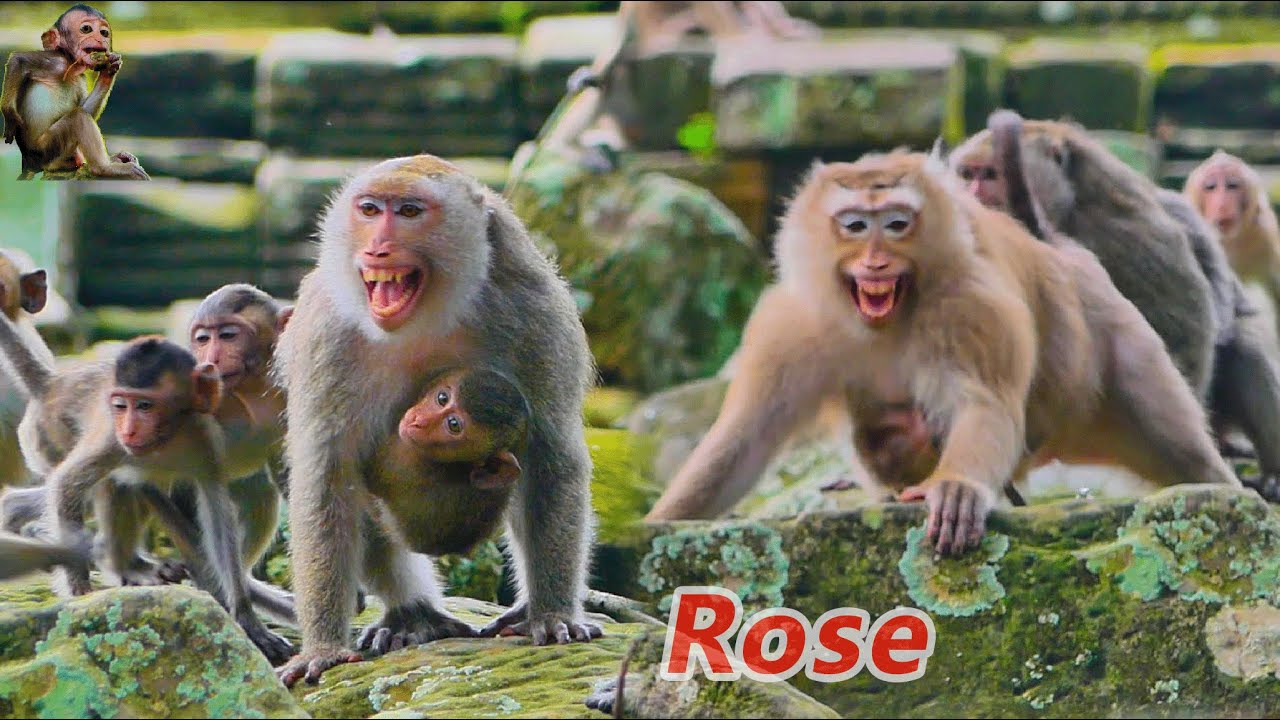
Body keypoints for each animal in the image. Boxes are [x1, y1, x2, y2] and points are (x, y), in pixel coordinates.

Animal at [1, 4, 148, 180]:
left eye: (104, 32)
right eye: (86, 29)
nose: (101, 38)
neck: (71, 65)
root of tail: (29, 164)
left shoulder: (81, 78)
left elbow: (86, 108)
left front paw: (109, 70)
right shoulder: (56, 61)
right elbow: (18, 59)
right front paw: (10, 117)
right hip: (45, 151)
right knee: (77, 118)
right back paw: (104, 168)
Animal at [1, 283, 299, 619]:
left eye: (228, 335)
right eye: (203, 338)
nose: (212, 359)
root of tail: (51, 383)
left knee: (260, 497)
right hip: (53, 437)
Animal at [273, 154, 601, 687]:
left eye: (409, 211)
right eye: (370, 209)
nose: (378, 247)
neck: (424, 318)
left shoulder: (535, 314)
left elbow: (551, 456)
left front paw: (551, 613)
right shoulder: (326, 336)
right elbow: (328, 476)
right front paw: (322, 647)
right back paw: (413, 614)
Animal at [643, 150, 1241, 556]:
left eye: (896, 224)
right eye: (856, 225)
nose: (877, 261)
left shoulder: (973, 310)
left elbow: (986, 406)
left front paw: (957, 490)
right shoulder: (789, 328)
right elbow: (744, 439)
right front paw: (664, 519)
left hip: (1113, 335)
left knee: (1174, 437)